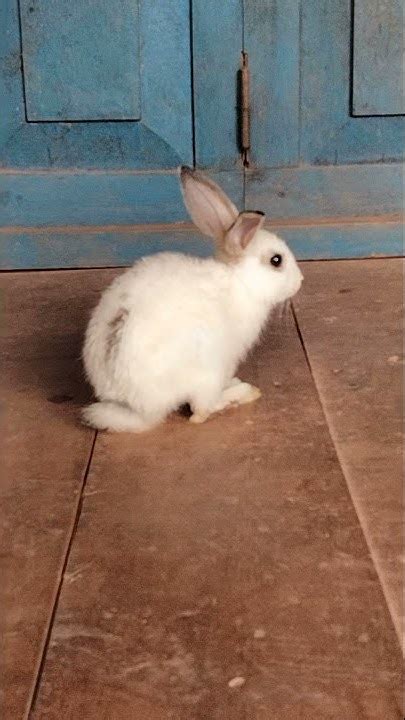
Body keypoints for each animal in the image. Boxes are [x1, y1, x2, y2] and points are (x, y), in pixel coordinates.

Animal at [82, 166, 303, 432]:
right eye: (276, 260)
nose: (300, 281)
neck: (238, 281)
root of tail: (139, 408)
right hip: (207, 374)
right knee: (201, 412)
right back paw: (243, 392)